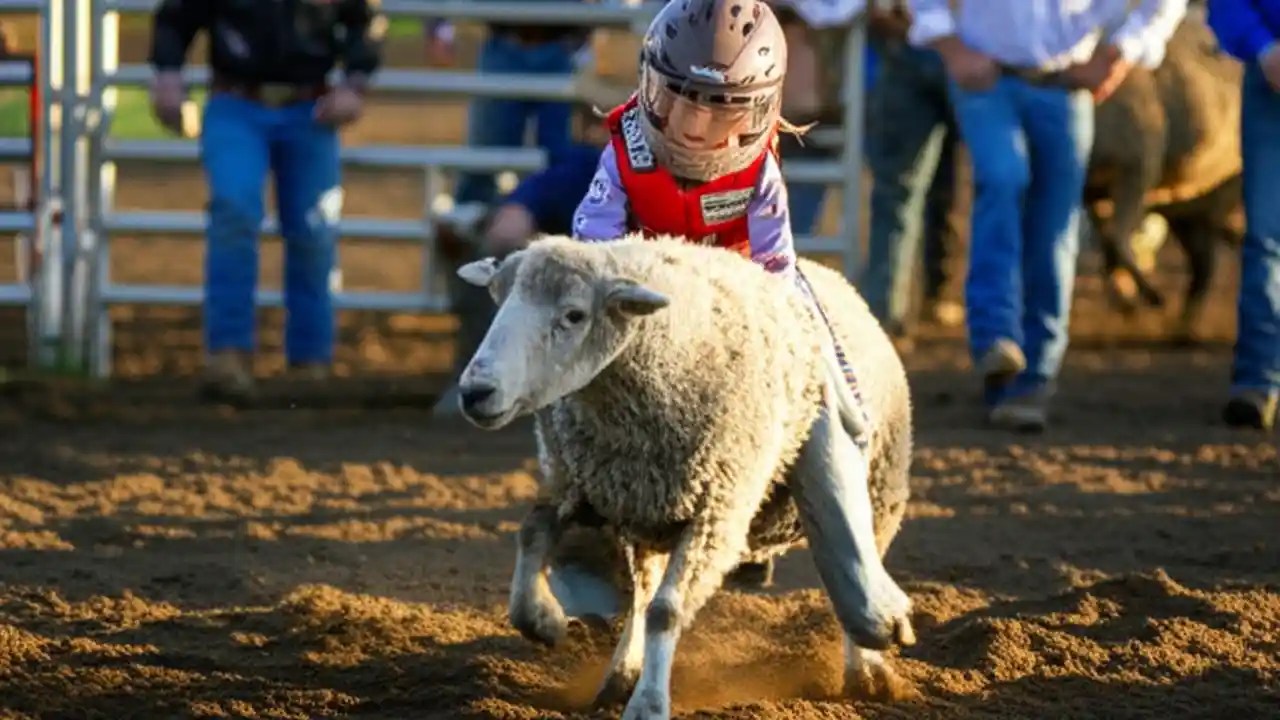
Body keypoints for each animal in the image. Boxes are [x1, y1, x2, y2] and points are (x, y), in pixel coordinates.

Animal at [453, 233, 917, 719]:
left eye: (574, 314)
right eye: (498, 297)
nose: (475, 392)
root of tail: (833, 276)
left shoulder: (716, 512)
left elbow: (667, 611)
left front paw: (649, 705)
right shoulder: (579, 483)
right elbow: (532, 535)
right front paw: (544, 621)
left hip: (881, 487)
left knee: (855, 551)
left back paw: (871, 662)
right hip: (645, 513)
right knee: (639, 595)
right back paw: (620, 674)